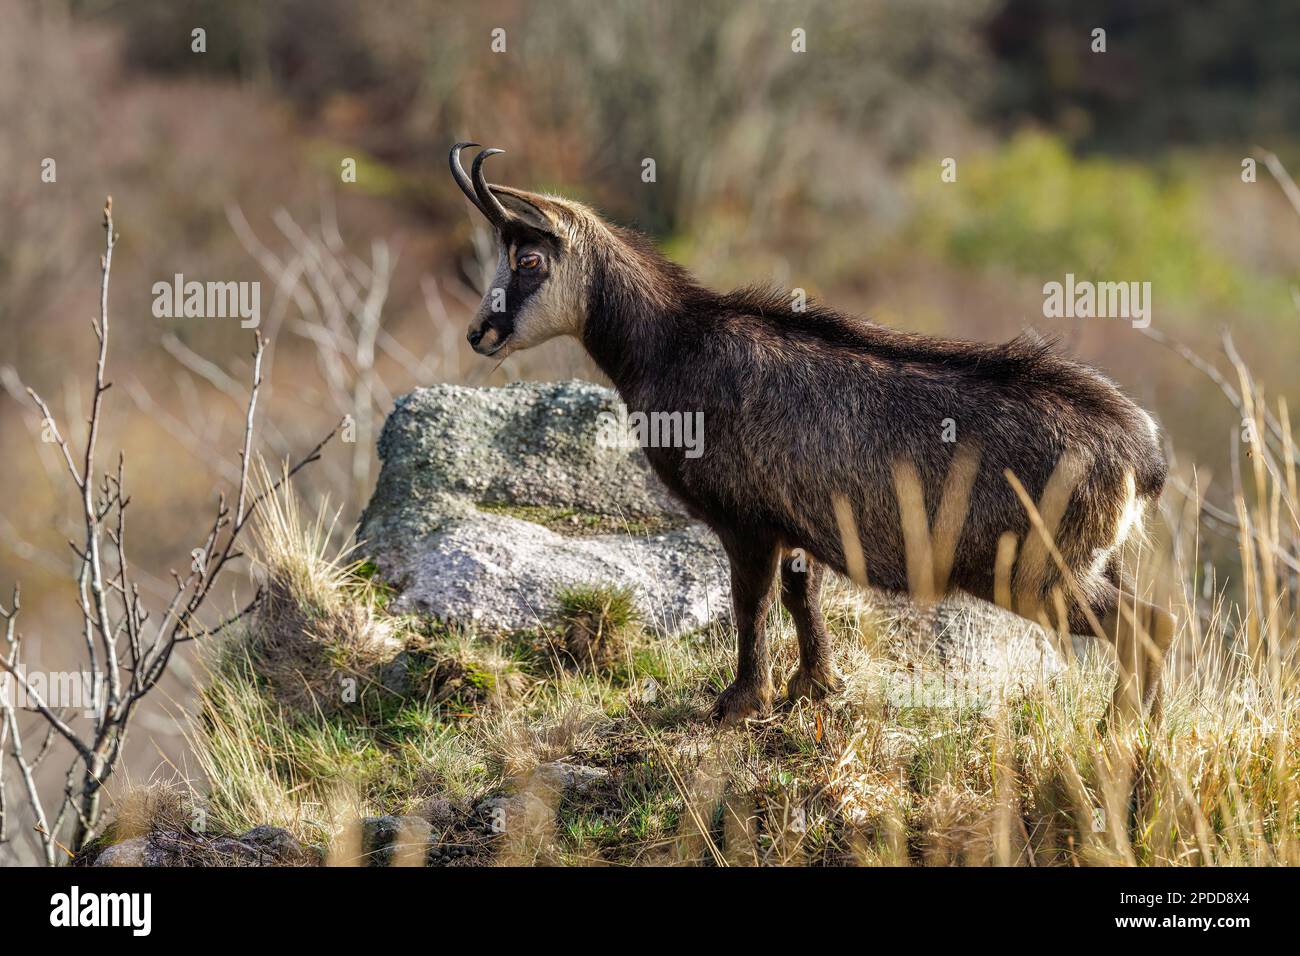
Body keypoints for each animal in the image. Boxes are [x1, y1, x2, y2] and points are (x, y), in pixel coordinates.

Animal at [450, 143, 1175, 727]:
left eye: (530, 259)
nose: (478, 334)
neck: (673, 344)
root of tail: (1143, 453)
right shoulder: (800, 523)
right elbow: (803, 596)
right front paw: (814, 686)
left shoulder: (745, 520)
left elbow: (751, 603)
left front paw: (739, 702)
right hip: (1081, 563)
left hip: (1035, 569)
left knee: (1147, 623)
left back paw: (1116, 728)